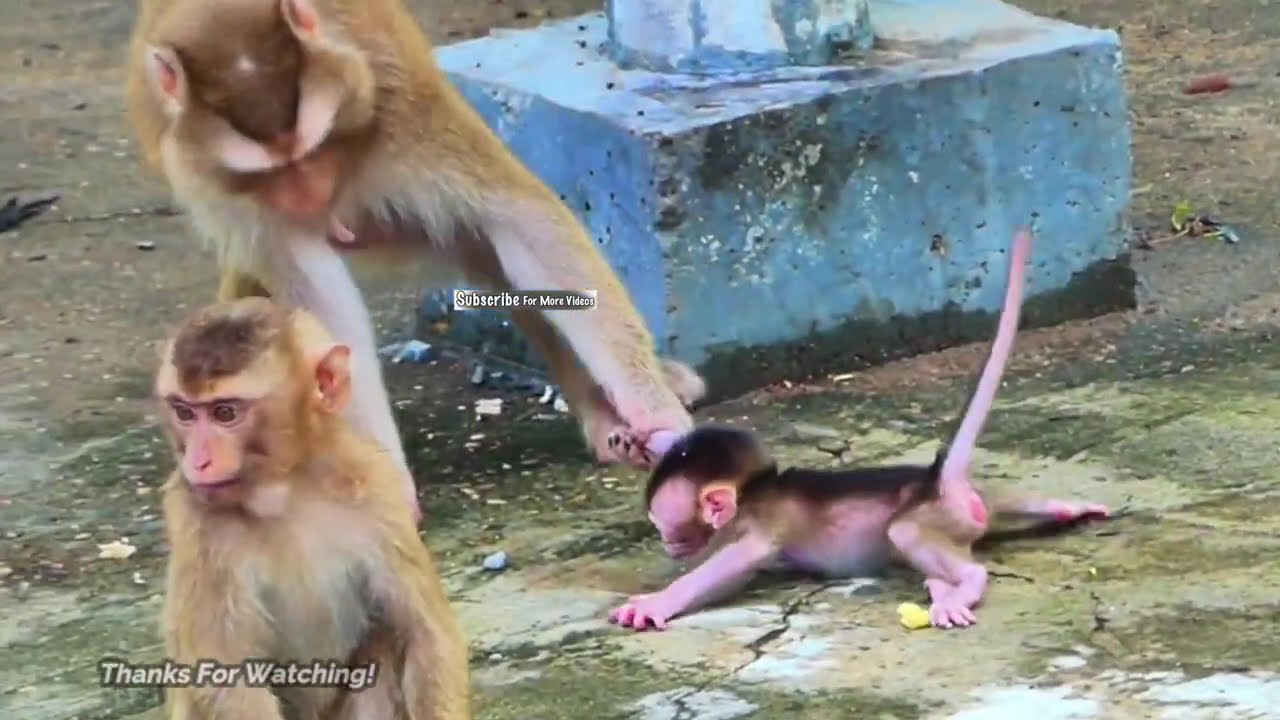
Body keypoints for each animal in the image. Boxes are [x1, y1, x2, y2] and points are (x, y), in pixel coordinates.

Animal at [125, 0, 706, 521]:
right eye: (268, 173)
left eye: (310, 151)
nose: (311, 198)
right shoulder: (231, 198)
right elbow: (319, 300)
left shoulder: (396, 99)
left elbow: (522, 221)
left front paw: (652, 409)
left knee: (494, 251)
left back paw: (607, 417)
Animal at [155, 297, 470, 719]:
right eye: (185, 412)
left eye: (225, 413)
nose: (198, 461)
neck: (287, 493)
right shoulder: (193, 521)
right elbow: (221, 672)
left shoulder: (379, 492)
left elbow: (422, 634)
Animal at [610, 229, 1111, 631]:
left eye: (670, 529)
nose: (669, 547)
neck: (754, 490)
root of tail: (936, 480)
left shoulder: (755, 527)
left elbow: (735, 562)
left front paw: (655, 603)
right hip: (972, 509)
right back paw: (1051, 514)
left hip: (928, 517)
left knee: (908, 536)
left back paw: (962, 584)